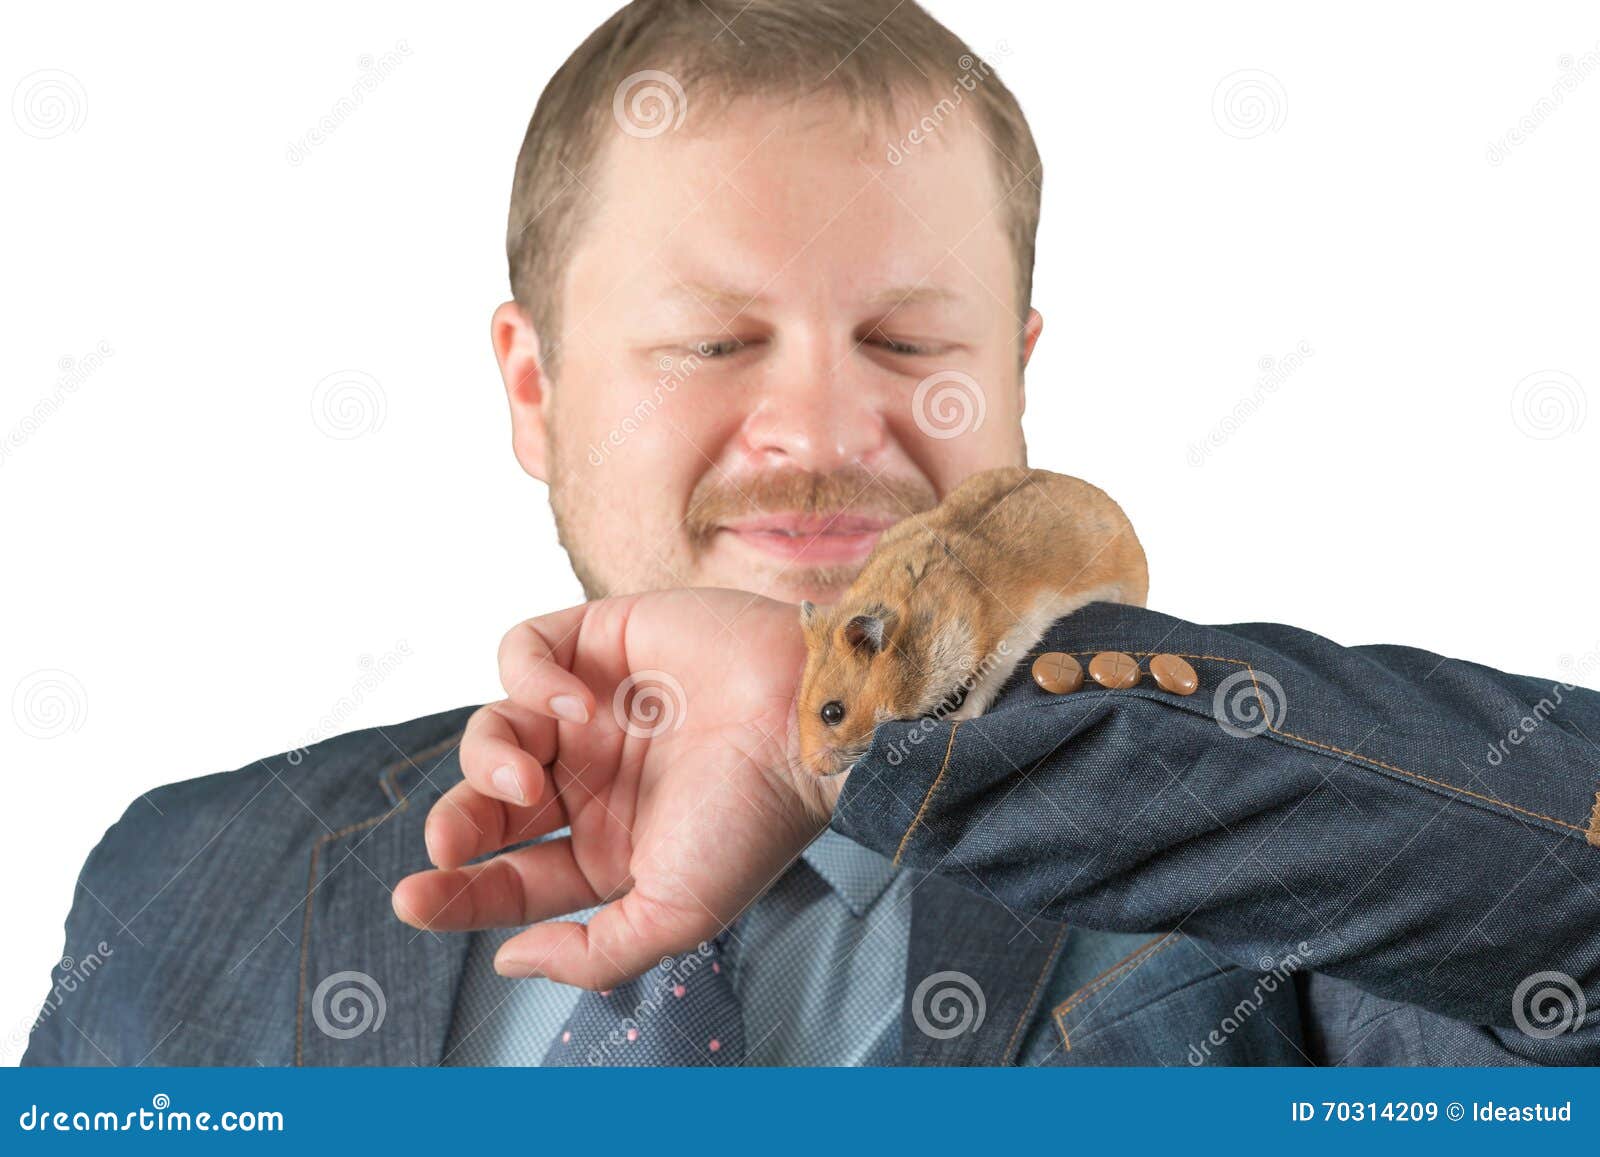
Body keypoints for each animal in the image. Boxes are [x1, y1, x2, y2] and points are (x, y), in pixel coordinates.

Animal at [796, 467, 1148, 777]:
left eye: (832, 712)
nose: (814, 771)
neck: (915, 636)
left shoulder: (1010, 638)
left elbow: (985, 685)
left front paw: (953, 718)